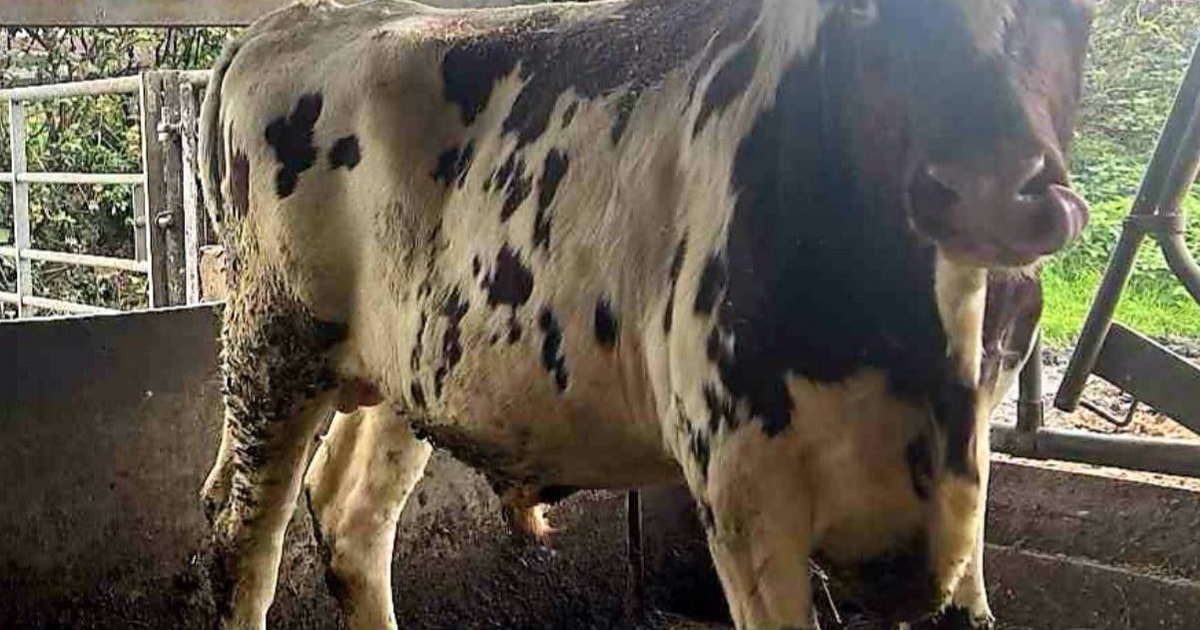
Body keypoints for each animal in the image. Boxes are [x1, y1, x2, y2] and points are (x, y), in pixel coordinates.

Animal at [197, 0, 1093, 628]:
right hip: (271, 340)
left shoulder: (964, 496)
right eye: (871, 20)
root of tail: (287, 22)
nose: (986, 190)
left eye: (1070, 10)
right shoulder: (742, 486)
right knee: (243, 542)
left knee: (351, 516)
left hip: (411, 369)